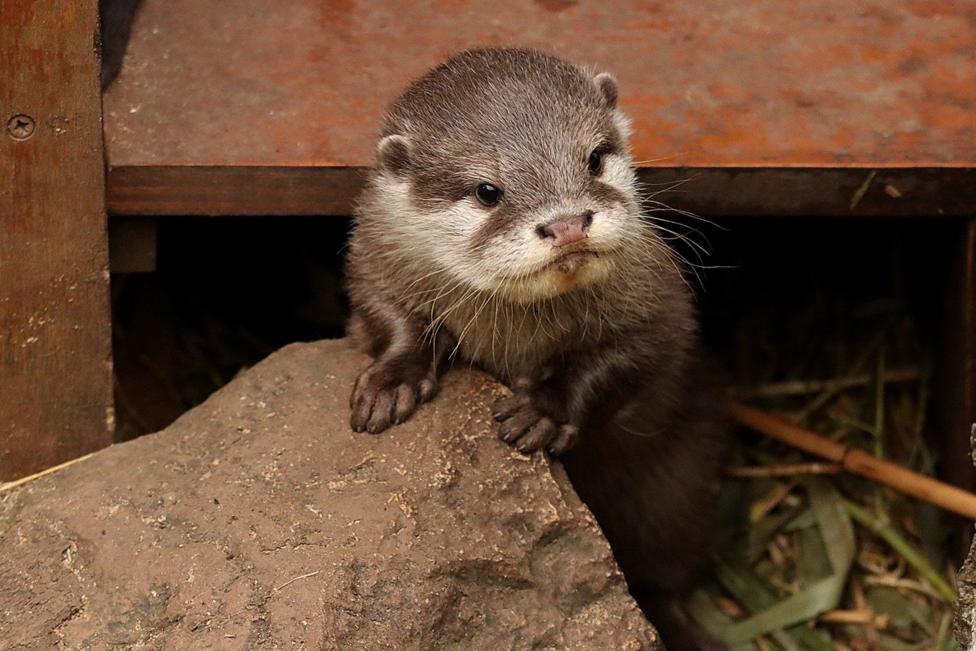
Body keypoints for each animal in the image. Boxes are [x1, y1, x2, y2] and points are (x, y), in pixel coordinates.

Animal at [345, 48, 728, 650]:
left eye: (593, 158)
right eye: (486, 190)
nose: (567, 223)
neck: (515, 330)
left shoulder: (657, 303)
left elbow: (630, 356)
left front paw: (544, 409)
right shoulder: (374, 257)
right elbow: (385, 311)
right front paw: (392, 381)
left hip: (677, 489)